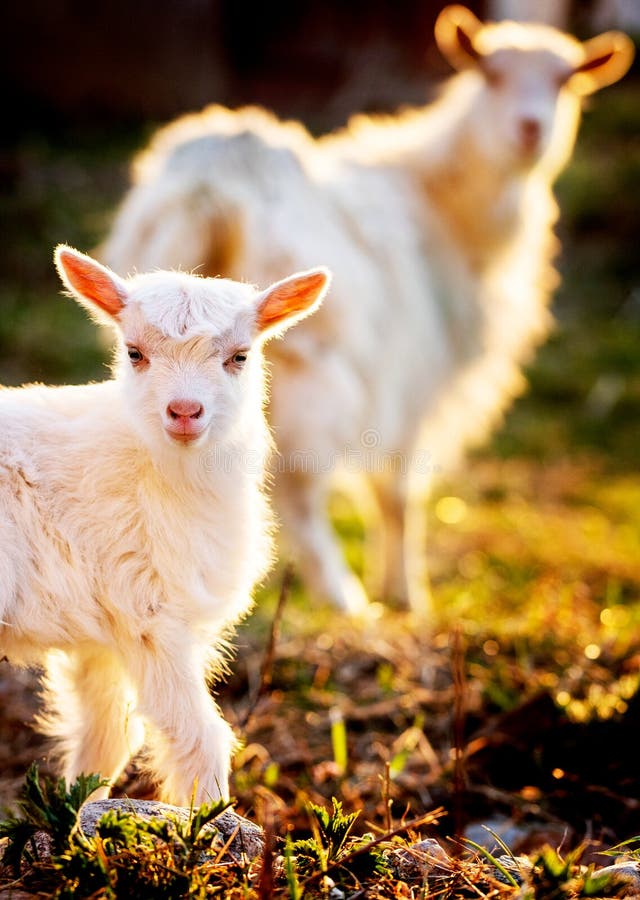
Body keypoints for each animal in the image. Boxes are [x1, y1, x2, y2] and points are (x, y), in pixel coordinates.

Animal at [0, 246, 328, 804]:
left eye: (240, 356)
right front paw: (209, 822)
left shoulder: (103, 633)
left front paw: (80, 822)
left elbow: (104, 743)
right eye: (134, 352)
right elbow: (199, 736)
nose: (185, 411)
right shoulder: (149, 613)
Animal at [101, 6, 634, 614]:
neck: (443, 206)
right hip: (312, 371)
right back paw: (343, 597)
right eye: (491, 75)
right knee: (296, 485)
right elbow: (398, 492)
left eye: (566, 81)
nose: (530, 129)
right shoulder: (413, 381)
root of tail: (211, 189)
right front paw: (405, 596)